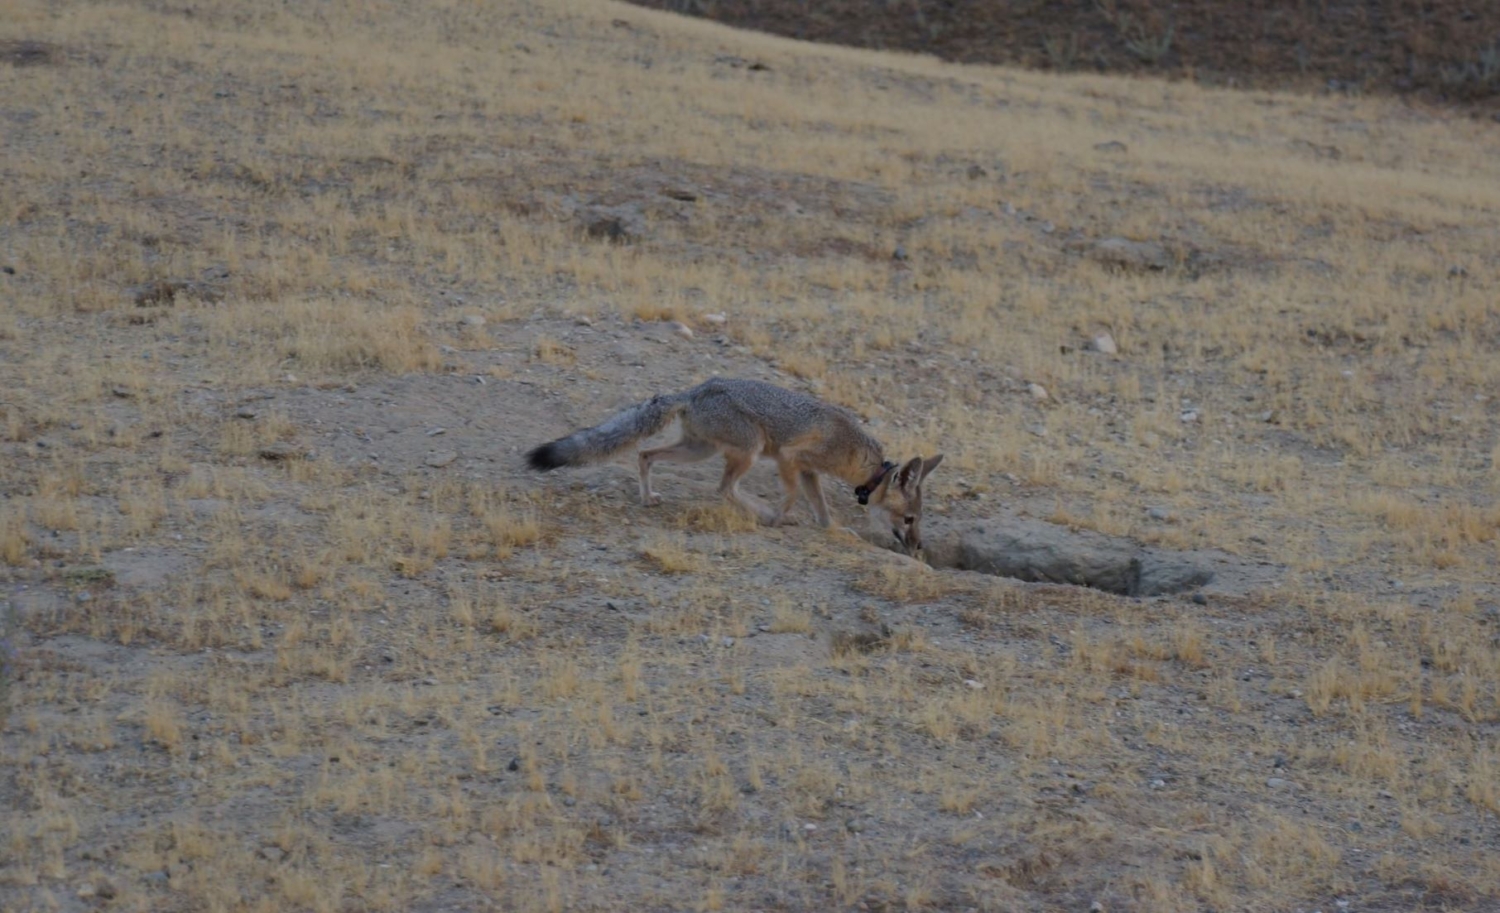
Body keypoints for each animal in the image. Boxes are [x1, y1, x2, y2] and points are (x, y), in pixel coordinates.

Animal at [525, 378, 943, 554]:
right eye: (909, 519)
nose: (919, 545)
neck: (858, 453)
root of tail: (694, 391)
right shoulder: (792, 459)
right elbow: (792, 496)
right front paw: (778, 517)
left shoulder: (809, 471)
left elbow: (822, 509)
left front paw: (835, 530)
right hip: (749, 449)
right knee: (725, 489)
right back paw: (760, 513)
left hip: (698, 450)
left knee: (646, 455)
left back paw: (647, 498)